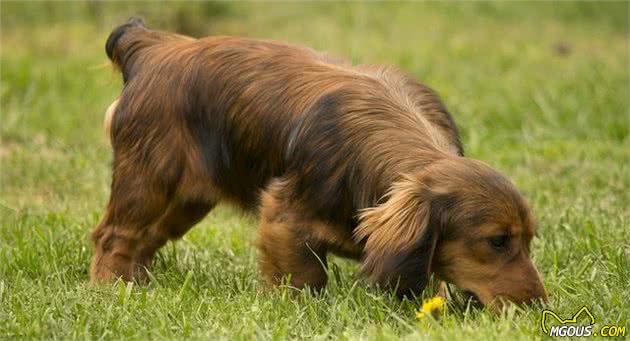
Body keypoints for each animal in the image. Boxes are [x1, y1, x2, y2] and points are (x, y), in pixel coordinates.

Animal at [90, 17, 548, 306]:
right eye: (497, 241)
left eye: (529, 239)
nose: (539, 309)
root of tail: (152, 47)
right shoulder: (284, 216)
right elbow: (306, 277)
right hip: (149, 180)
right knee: (112, 236)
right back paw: (111, 291)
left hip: (187, 202)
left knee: (145, 240)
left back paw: (140, 285)